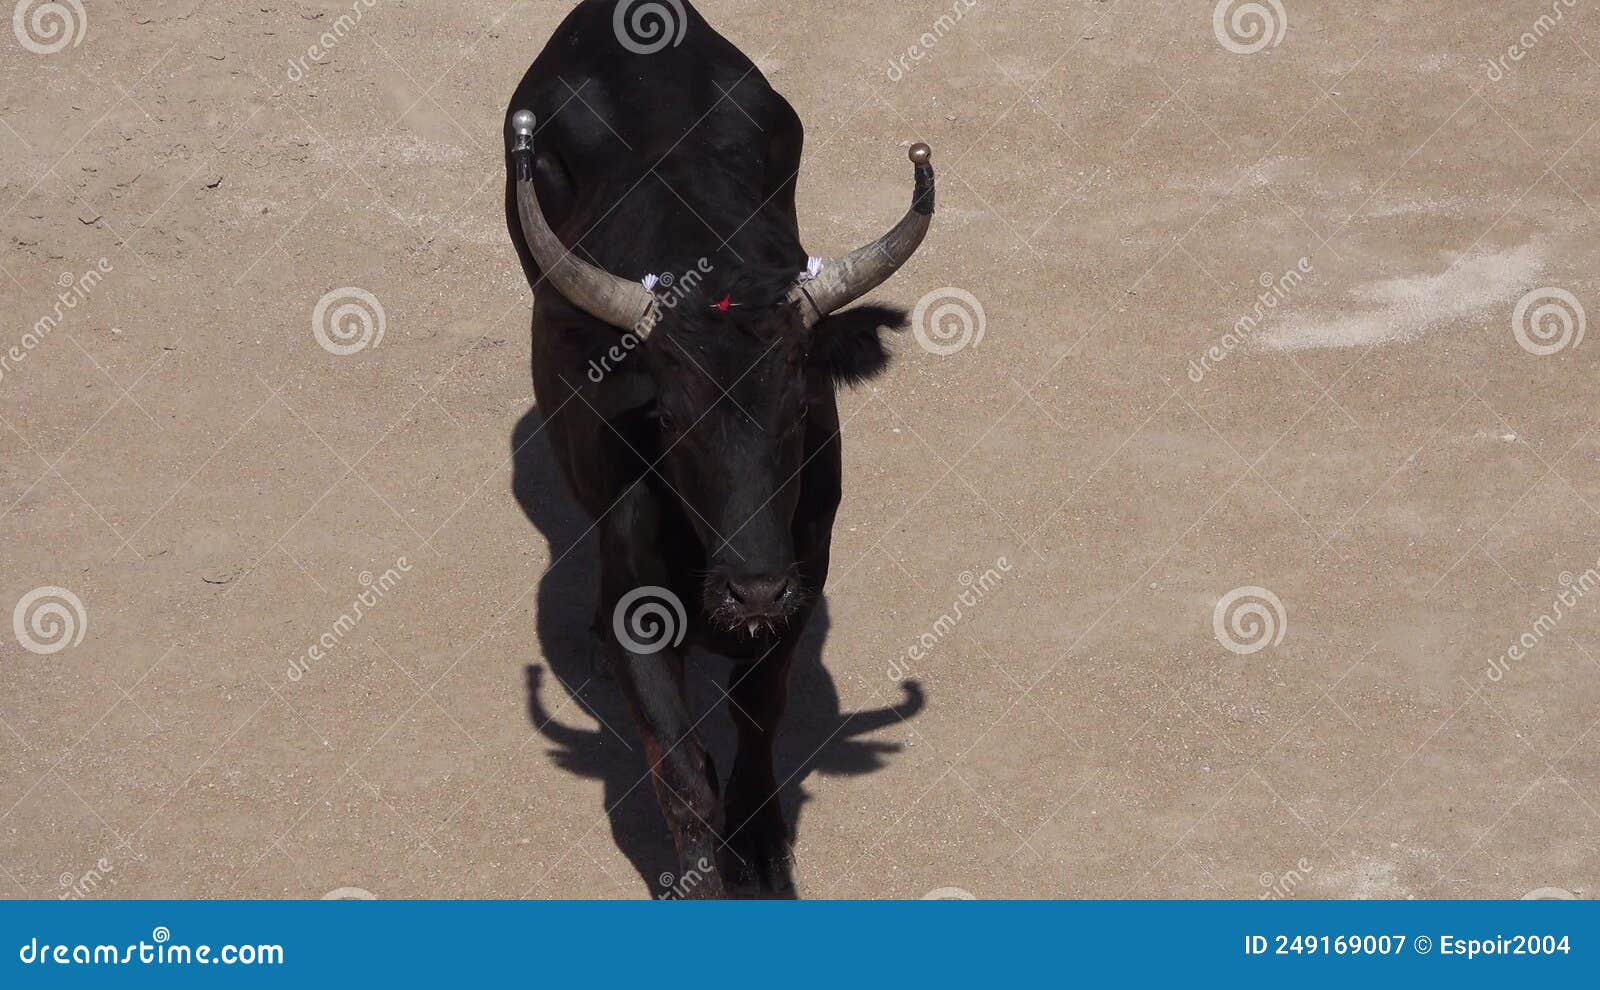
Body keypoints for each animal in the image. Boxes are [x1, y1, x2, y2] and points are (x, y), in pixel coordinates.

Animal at [503, 0, 934, 896]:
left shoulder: (805, 573)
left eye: (803, 405)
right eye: (671, 418)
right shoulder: (637, 605)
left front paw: (763, 845)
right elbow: (680, 767)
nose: (754, 590)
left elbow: (757, 715)